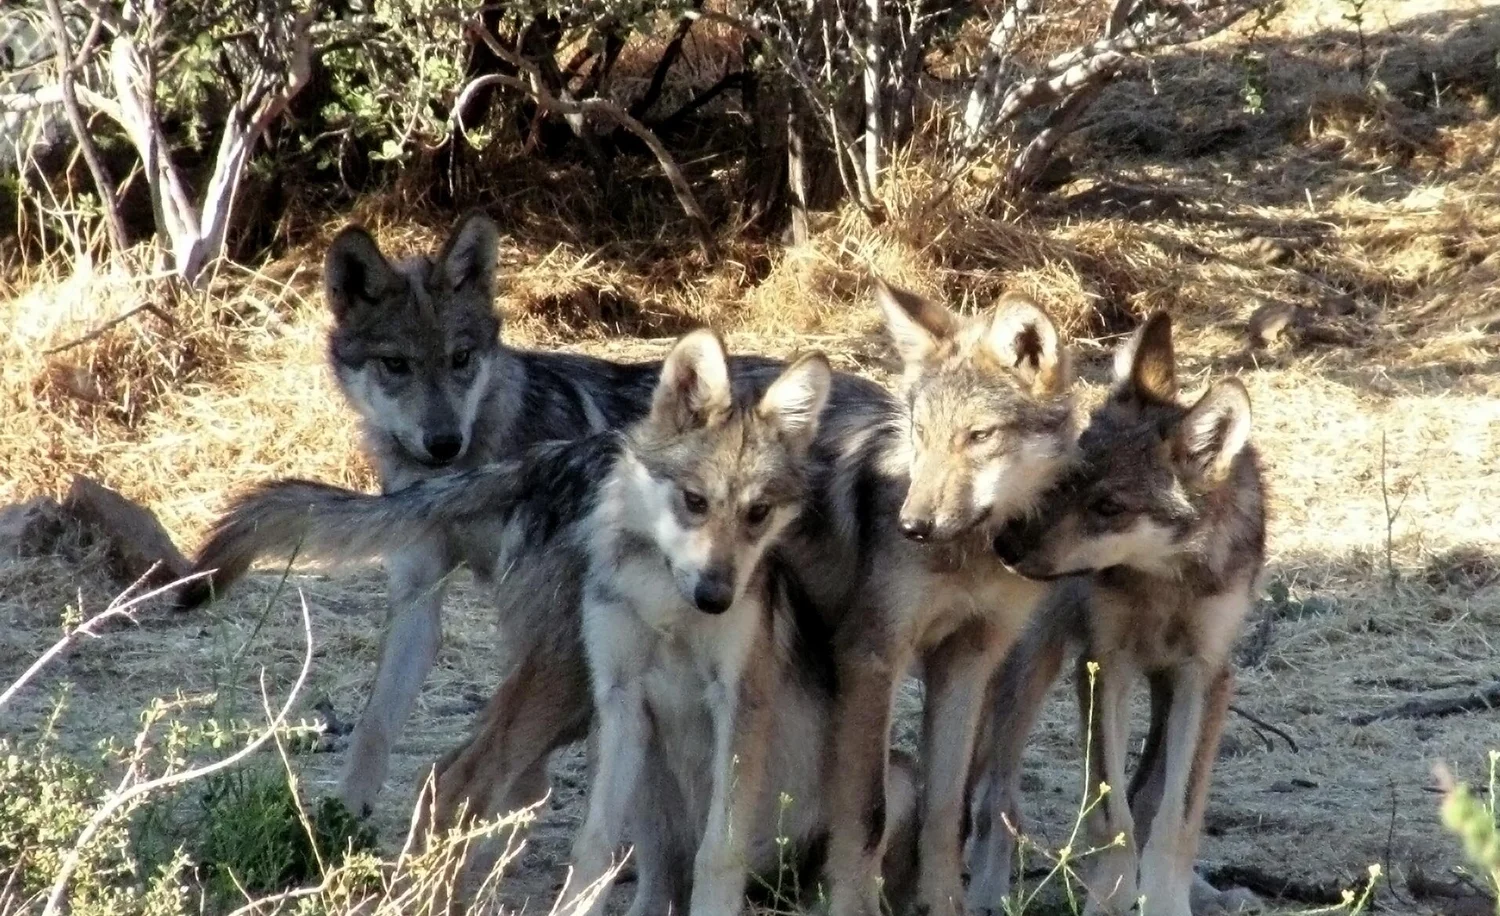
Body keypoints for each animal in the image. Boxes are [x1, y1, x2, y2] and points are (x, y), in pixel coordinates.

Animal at [186, 331, 917, 915]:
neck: (666, 604)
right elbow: (596, 847)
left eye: (759, 513)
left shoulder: (734, 705)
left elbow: (713, 854)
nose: (714, 595)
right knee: (458, 778)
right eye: (694, 502)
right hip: (576, 701)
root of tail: (552, 456)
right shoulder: (628, 701)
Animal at [969, 312, 1266, 916]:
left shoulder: (1205, 674)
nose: (1006, 547)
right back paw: (985, 894)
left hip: (1162, 690)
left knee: (1148, 790)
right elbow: (1113, 816)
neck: (1162, 581)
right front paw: (1111, 897)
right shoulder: (1105, 664)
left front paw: (1168, 900)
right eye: (1064, 485)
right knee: (996, 791)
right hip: (1028, 671)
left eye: (1108, 507)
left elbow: (1174, 815)